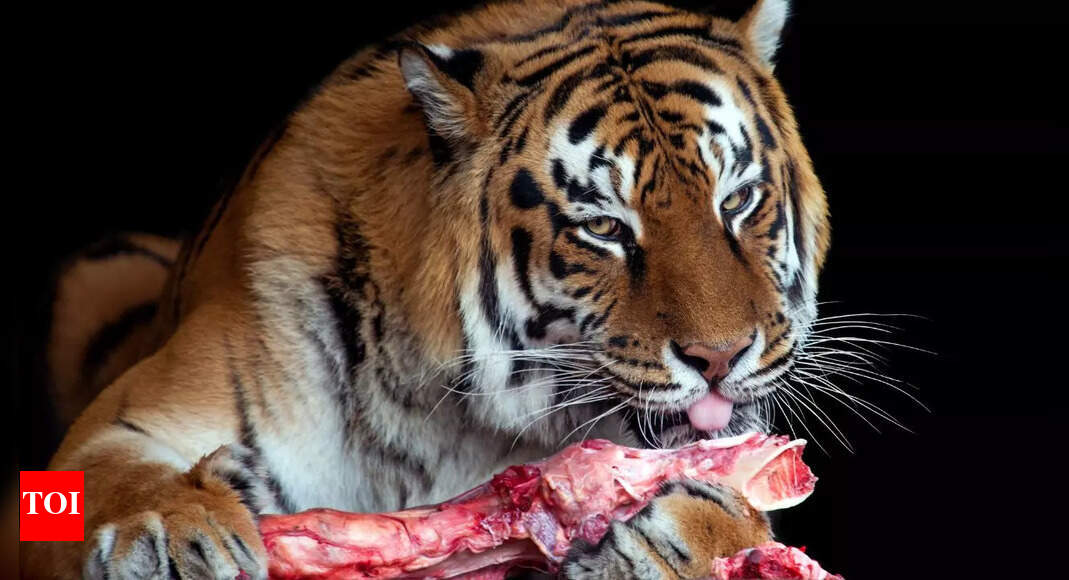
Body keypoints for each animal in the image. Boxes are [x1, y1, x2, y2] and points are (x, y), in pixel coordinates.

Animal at [24, 0, 829, 578]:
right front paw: (171, 531)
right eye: (603, 226)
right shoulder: (125, 422)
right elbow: (115, 479)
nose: (719, 357)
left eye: (736, 200)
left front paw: (672, 541)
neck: (458, 426)